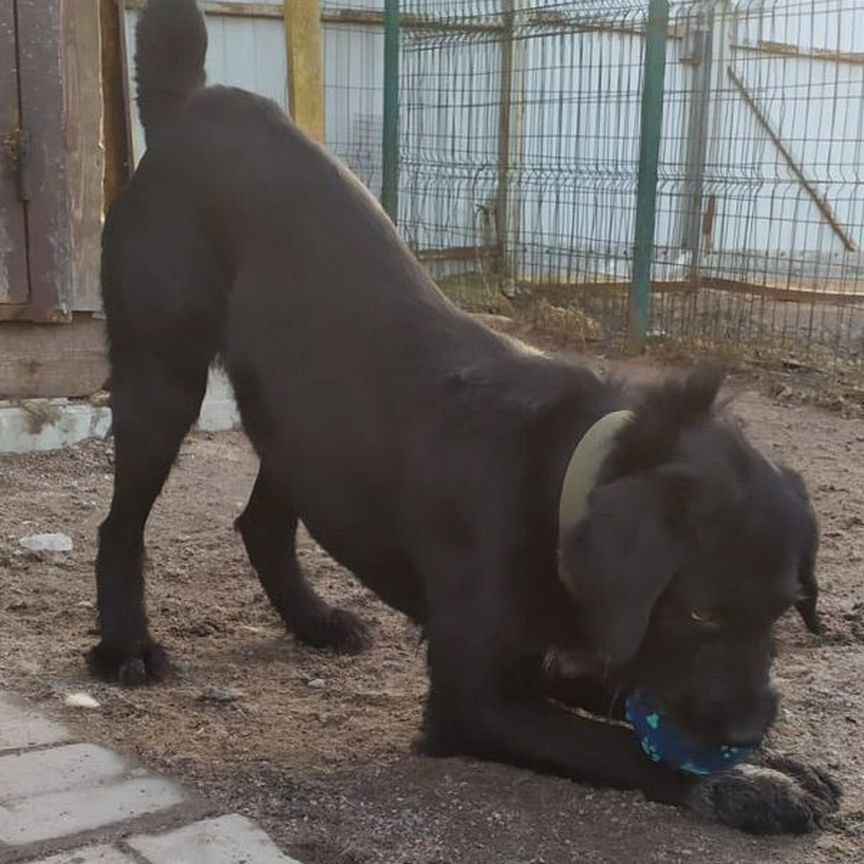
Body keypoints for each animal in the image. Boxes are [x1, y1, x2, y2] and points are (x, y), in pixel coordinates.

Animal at [93, 0, 836, 836]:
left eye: (784, 612)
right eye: (702, 614)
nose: (748, 731)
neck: (558, 474)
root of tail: (195, 104)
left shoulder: (566, 652)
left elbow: (618, 695)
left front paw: (775, 763)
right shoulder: (473, 697)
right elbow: (624, 748)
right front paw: (748, 785)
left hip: (303, 423)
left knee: (262, 522)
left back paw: (314, 621)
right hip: (163, 377)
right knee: (120, 524)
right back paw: (126, 644)